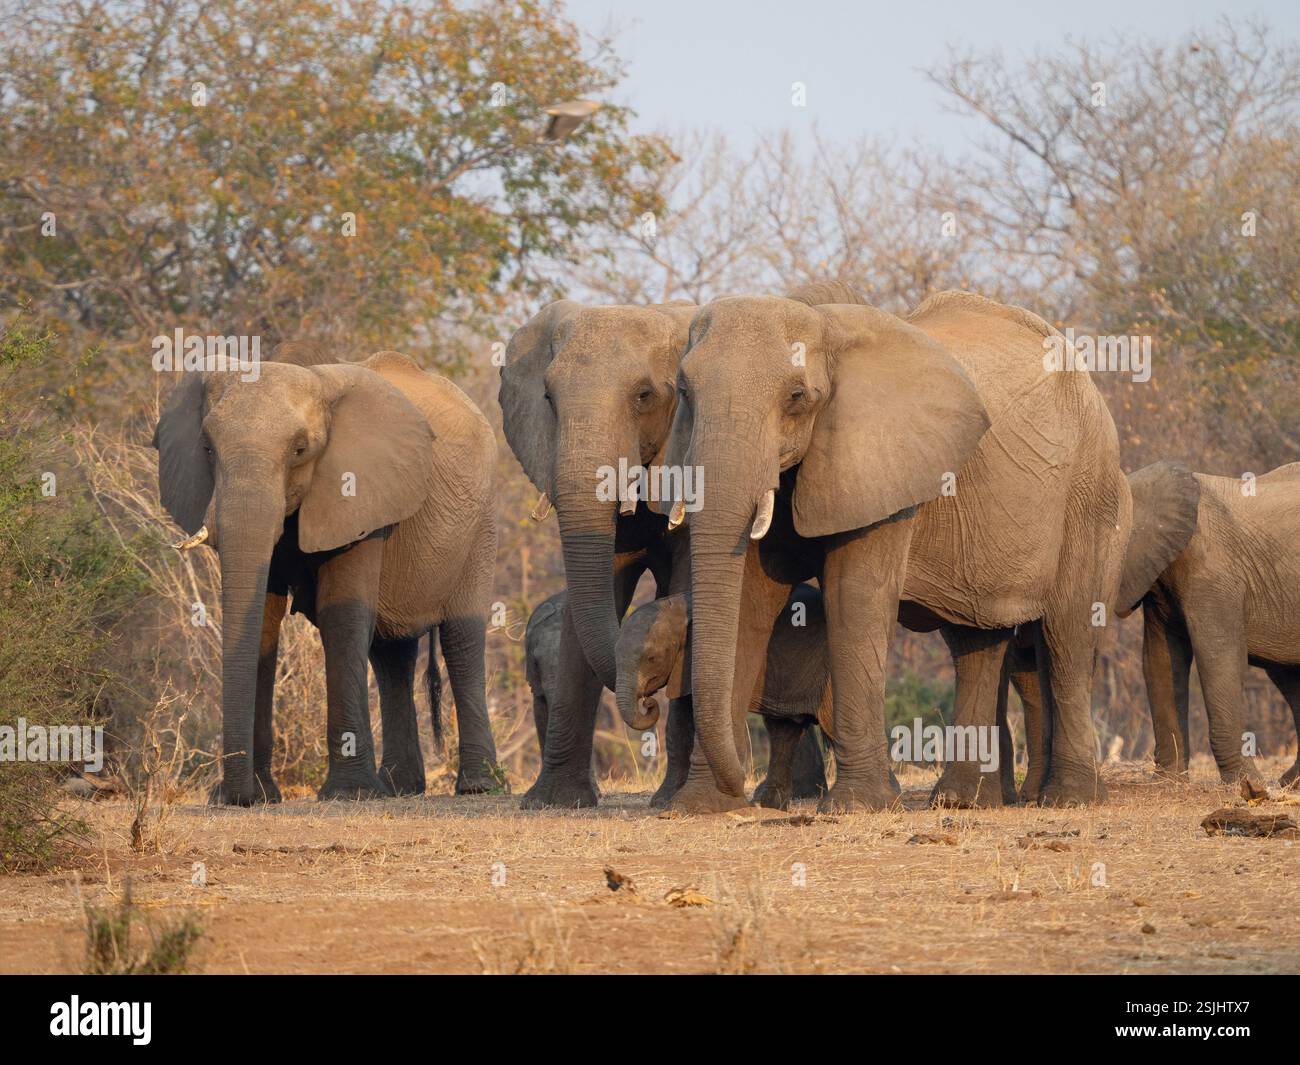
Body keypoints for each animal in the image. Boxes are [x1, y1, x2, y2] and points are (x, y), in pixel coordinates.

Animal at [154, 345, 500, 804]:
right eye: (207, 449)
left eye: (300, 449)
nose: (234, 797)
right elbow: (263, 624)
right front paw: (262, 795)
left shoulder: (361, 494)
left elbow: (342, 616)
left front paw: (349, 794)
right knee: (391, 655)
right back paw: (398, 788)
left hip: (480, 524)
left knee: (462, 639)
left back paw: (478, 786)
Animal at [500, 300, 698, 808]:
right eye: (548, 399)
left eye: (645, 395)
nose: (648, 698)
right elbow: (592, 598)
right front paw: (552, 802)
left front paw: (672, 801)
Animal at [654, 284, 1136, 813]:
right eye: (684, 392)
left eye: (797, 398)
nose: (746, 789)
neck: (824, 327)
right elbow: (748, 603)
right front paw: (700, 805)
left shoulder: (881, 470)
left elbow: (855, 598)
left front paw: (856, 806)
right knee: (975, 640)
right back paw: (963, 800)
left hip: (1089, 488)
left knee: (1066, 630)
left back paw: (1070, 798)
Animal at [1120, 460, 1300, 785]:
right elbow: (1160, 660)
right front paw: (1168, 781)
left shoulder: (1212, 571)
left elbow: (1218, 655)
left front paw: (1245, 783)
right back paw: (1289, 783)